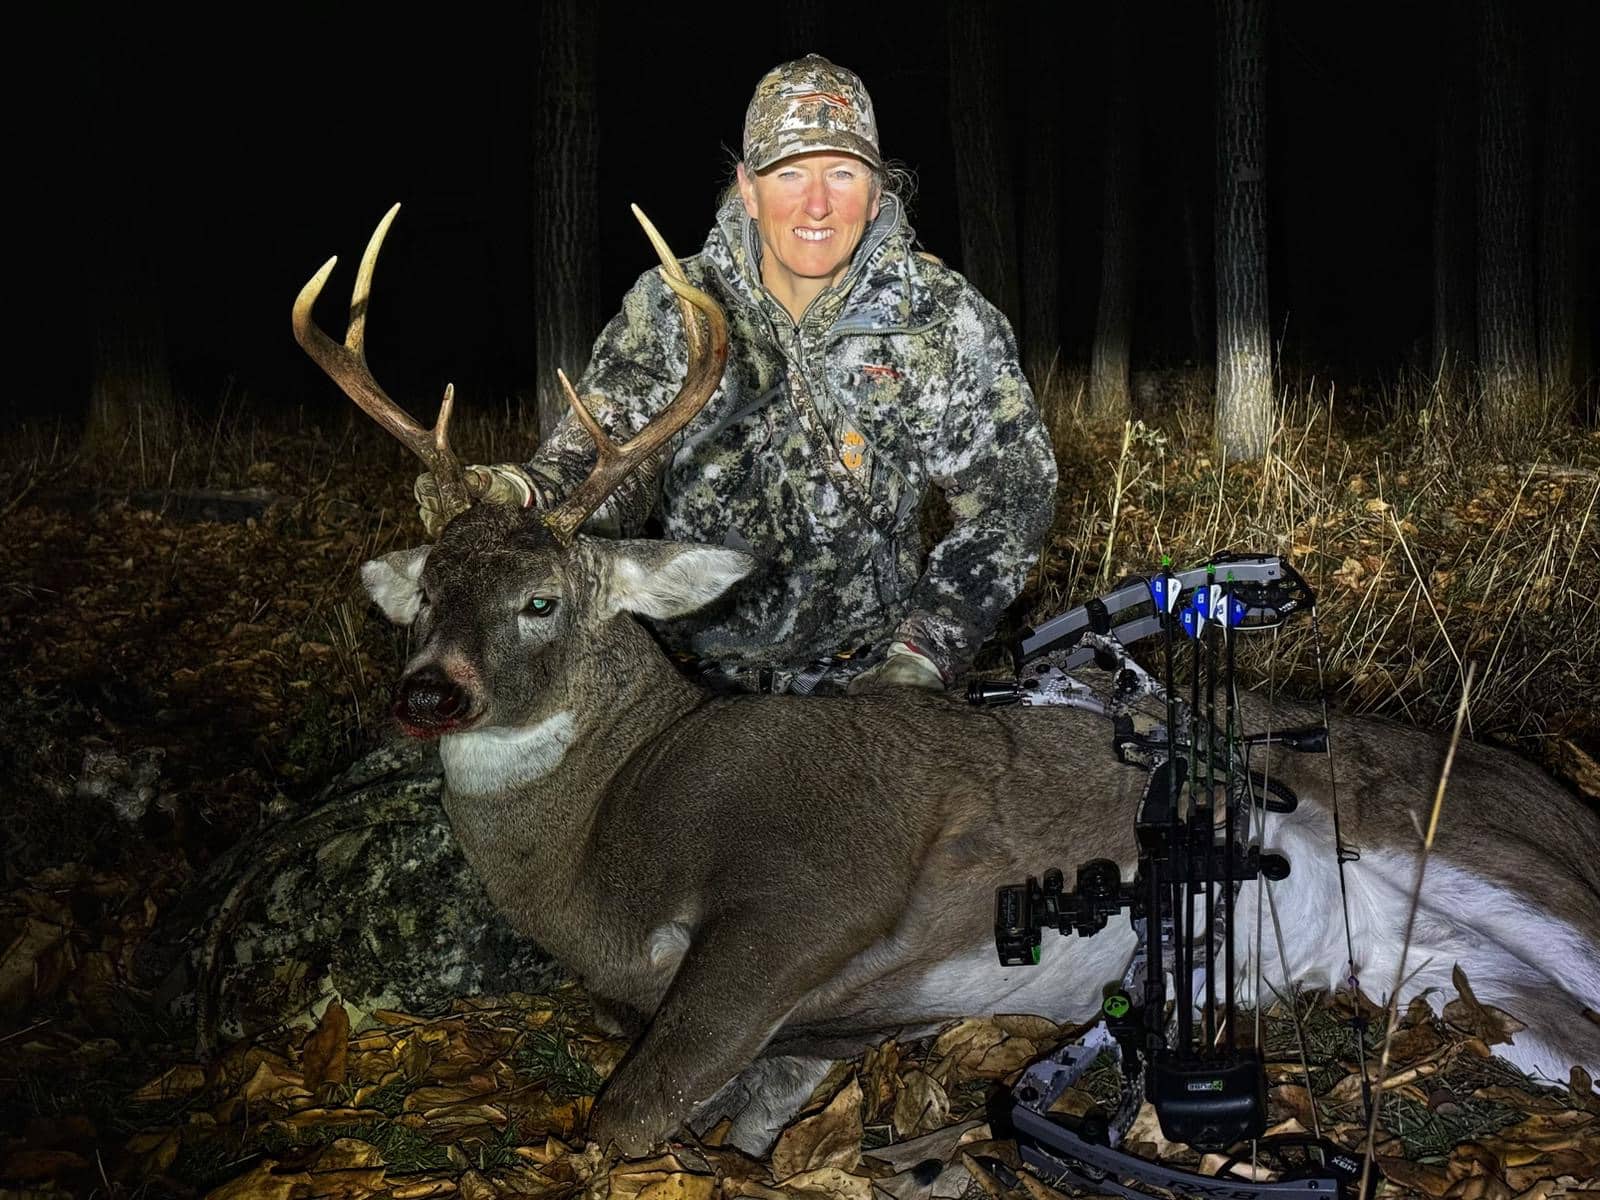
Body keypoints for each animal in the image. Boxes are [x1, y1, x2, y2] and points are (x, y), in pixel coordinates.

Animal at [294, 205, 1600, 1158]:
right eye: (425, 595)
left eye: (542, 601)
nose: (431, 696)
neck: (609, 838)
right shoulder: (820, 1014)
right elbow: (749, 1098)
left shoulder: (819, 880)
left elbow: (627, 1114)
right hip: (1446, 980)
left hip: (1489, 844)